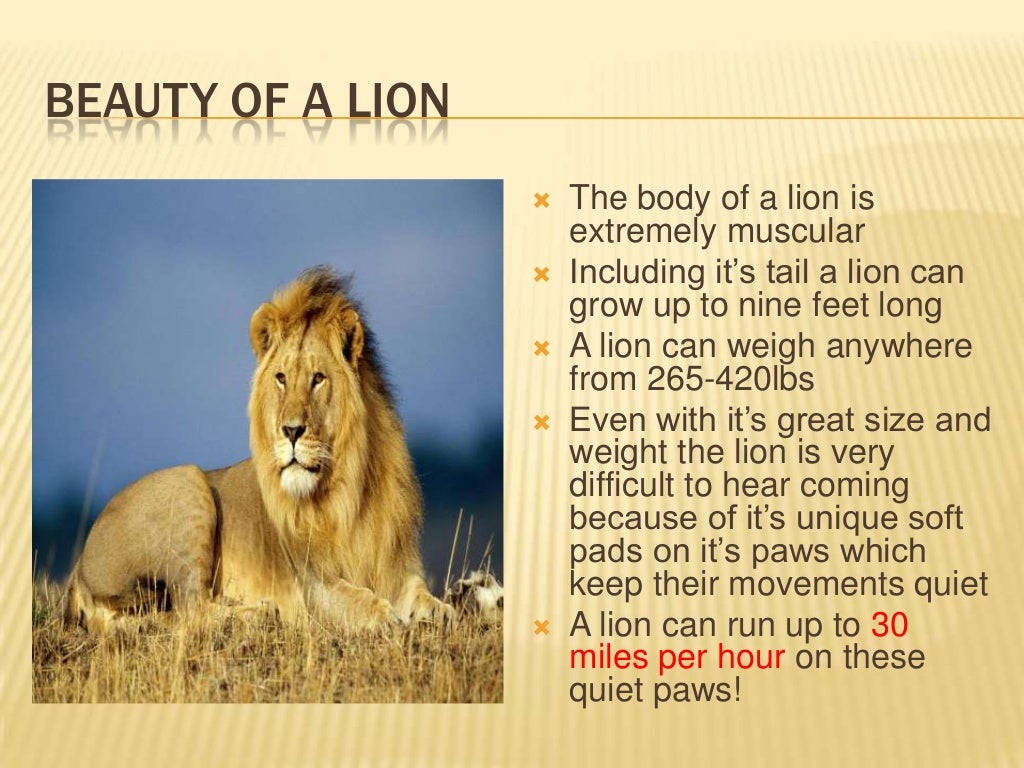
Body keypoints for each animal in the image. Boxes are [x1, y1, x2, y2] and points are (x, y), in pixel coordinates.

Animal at [64, 267, 453, 633]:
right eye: (281, 378)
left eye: (318, 378)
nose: (291, 431)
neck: (349, 487)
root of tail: (78, 569)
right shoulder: (313, 583)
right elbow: (355, 599)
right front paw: (385, 617)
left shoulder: (396, 565)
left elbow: (422, 594)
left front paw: (443, 611)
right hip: (188, 483)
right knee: (191, 610)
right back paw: (260, 613)